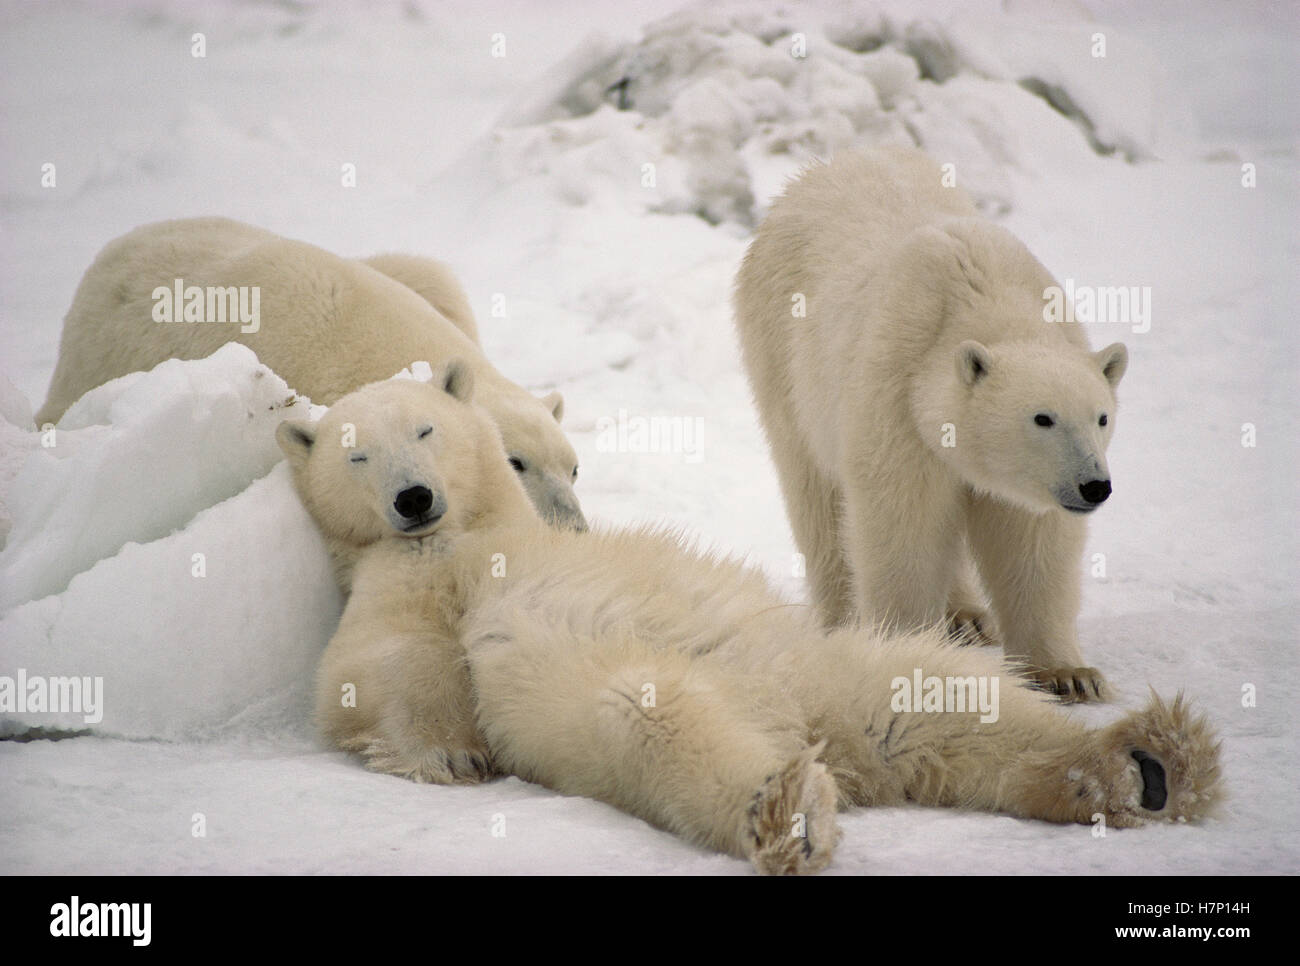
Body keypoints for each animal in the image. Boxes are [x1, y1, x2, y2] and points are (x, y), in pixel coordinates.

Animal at [277, 371, 1221, 875]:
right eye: (356, 452)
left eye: (425, 430)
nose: (413, 497)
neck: (472, 532)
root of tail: (803, 727)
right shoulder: (409, 580)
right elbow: (374, 668)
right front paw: (450, 754)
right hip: (664, 696)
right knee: (657, 721)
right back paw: (787, 810)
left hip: (818, 662)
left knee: (932, 700)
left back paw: (1142, 763)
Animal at [733, 145, 1128, 702]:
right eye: (1042, 418)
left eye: (1101, 417)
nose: (1094, 486)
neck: (987, 301)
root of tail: (819, 170)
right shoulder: (897, 396)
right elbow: (903, 520)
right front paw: (905, 651)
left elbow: (1034, 540)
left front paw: (1070, 675)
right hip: (782, 352)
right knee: (814, 493)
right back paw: (842, 618)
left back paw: (967, 616)